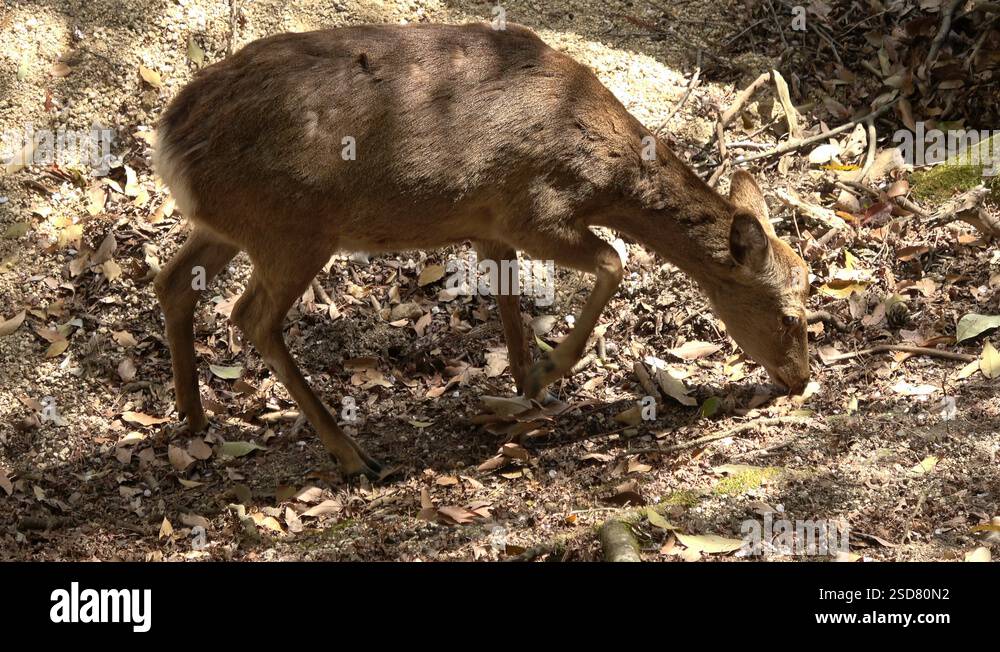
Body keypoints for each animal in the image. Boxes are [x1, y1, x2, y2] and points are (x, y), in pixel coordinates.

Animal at [153, 22, 812, 480]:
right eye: (790, 317)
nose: (801, 380)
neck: (606, 175)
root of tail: (168, 141)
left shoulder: (489, 226)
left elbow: (510, 309)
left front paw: (527, 393)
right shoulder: (534, 210)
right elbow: (613, 262)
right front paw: (547, 372)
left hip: (231, 226)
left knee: (173, 280)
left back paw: (192, 417)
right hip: (292, 227)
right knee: (251, 316)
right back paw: (353, 456)